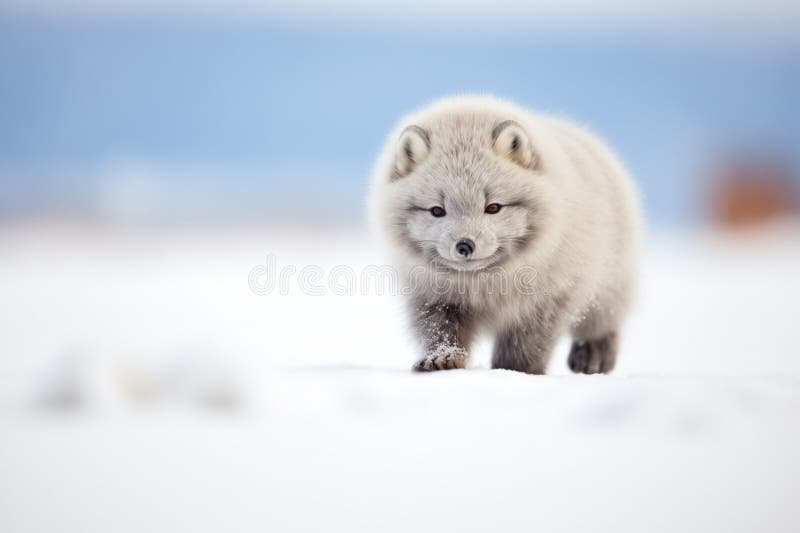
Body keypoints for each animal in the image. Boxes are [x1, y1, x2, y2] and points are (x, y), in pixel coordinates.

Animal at [369, 96, 642, 374]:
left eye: (493, 207)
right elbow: (440, 331)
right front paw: (443, 359)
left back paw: (593, 357)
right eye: (437, 210)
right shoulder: (432, 297)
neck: (485, 286)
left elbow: (526, 345)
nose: (465, 245)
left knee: (603, 322)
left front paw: (514, 371)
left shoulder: (548, 299)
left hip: (606, 283)